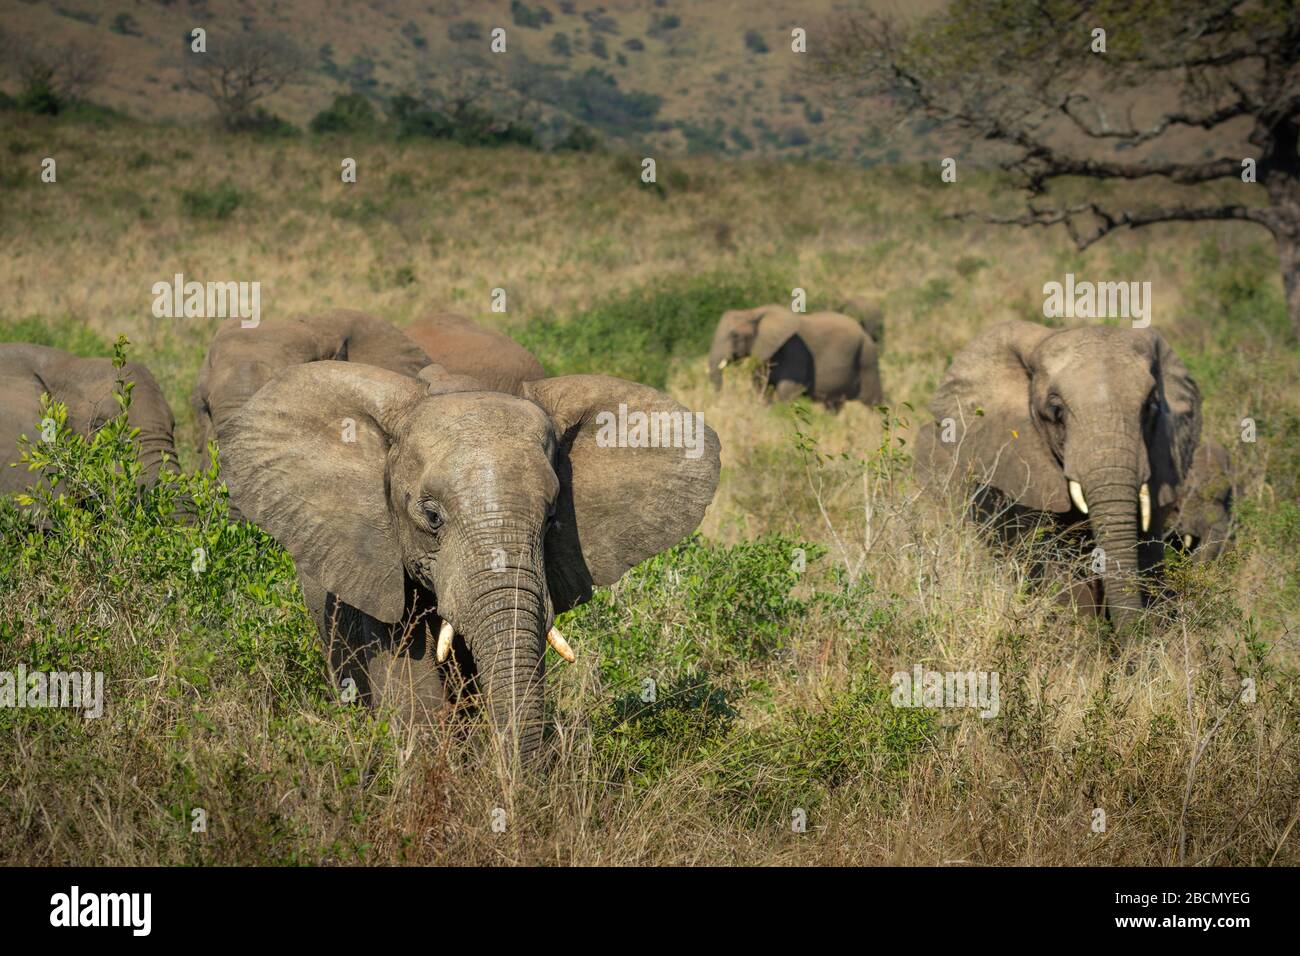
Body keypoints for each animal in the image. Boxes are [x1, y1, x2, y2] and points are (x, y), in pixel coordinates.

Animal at [707, 305, 883, 408]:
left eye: (734, 335)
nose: (720, 399)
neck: (754, 312)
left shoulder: (795, 349)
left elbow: (788, 390)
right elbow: (761, 386)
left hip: (867, 357)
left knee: (873, 402)